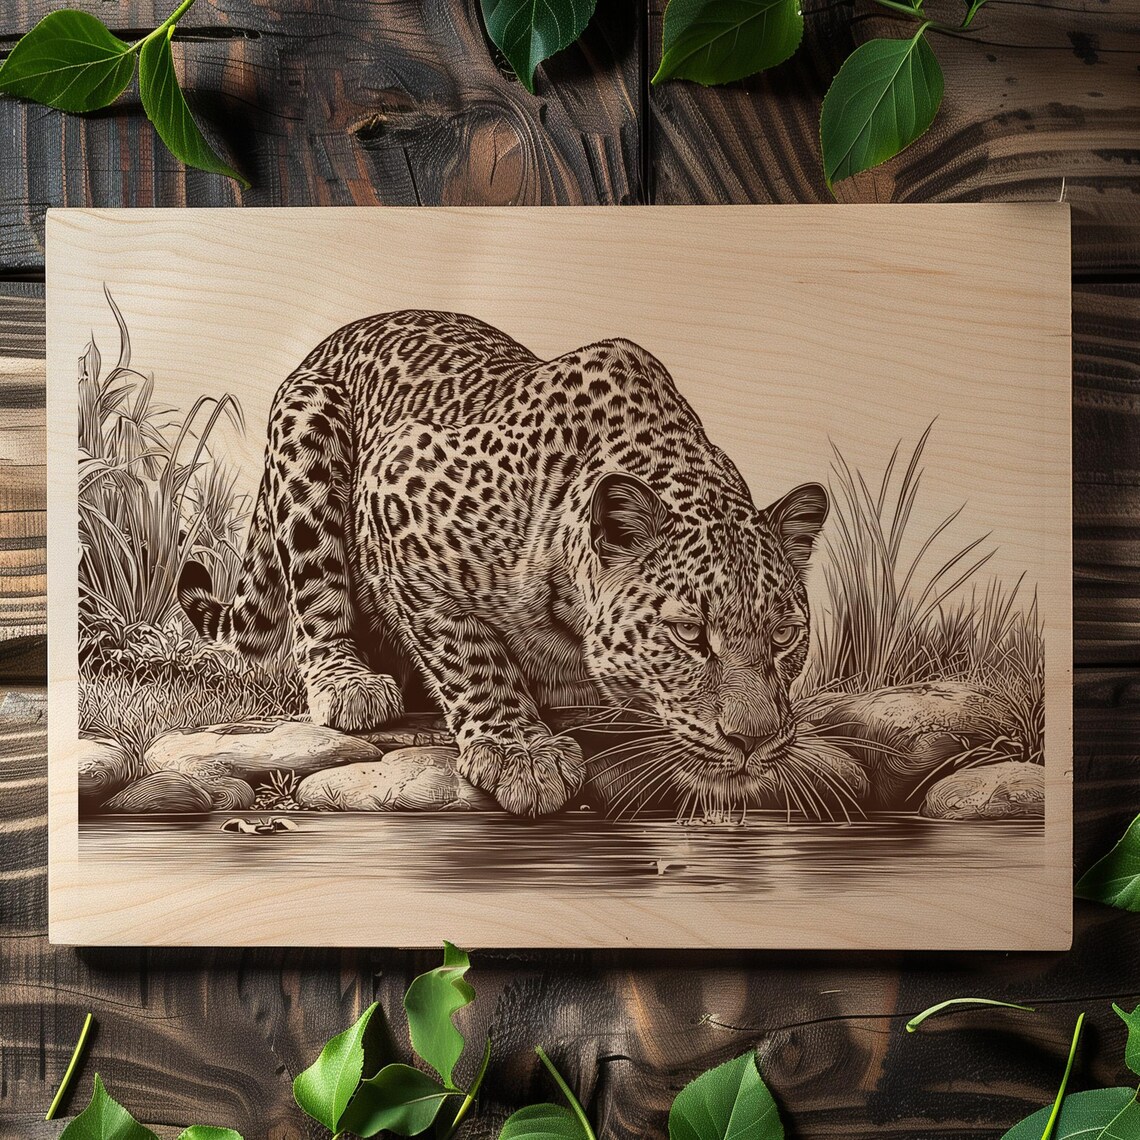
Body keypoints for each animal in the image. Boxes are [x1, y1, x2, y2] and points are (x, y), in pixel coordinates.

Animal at [178, 310, 829, 817]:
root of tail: (330, 341)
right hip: (309, 439)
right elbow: (468, 652)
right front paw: (520, 751)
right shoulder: (395, 485)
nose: (754, 741)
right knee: (318, 595)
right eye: (689, 634)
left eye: (785, 636)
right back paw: (351, 683)